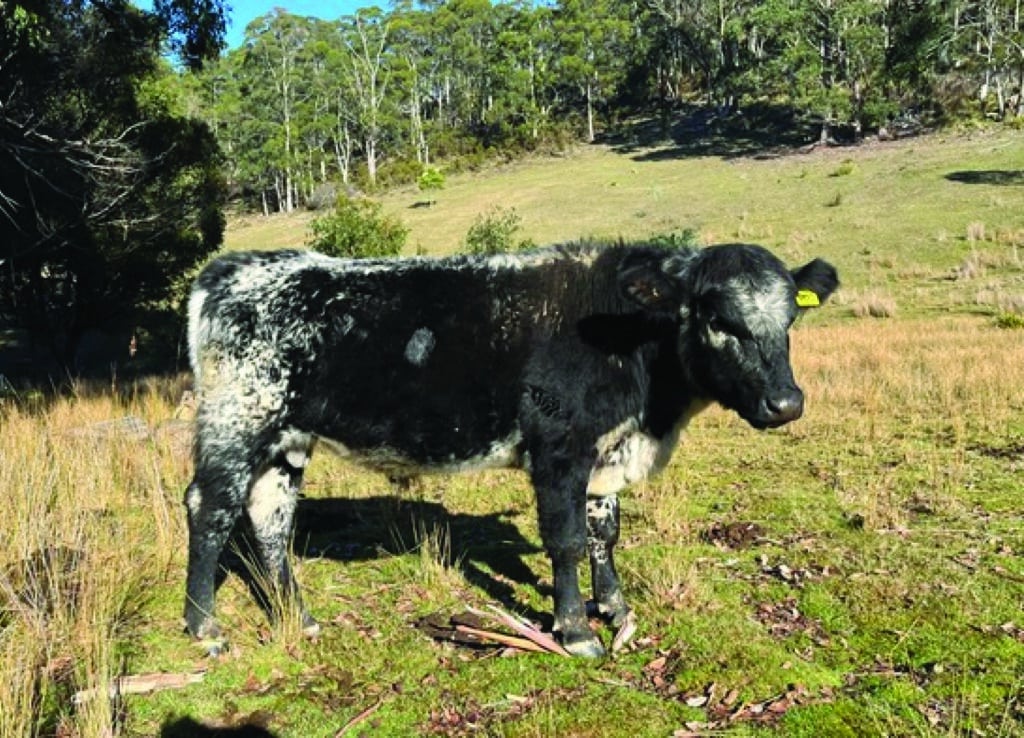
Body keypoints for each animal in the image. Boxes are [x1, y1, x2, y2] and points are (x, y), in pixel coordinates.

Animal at [183, 241, 838, 657]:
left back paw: (299, 617)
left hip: (284, 440)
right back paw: (206, 628)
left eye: (789, 319)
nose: (786, 403)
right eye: (717, 320)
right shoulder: (560, 449)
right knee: (210, 509)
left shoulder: (604, 454)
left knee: (270, 516)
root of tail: (234, 268)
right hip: (237, 420)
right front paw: (577, 632)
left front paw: (615, 608)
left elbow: (604, 532)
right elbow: (566, 538)